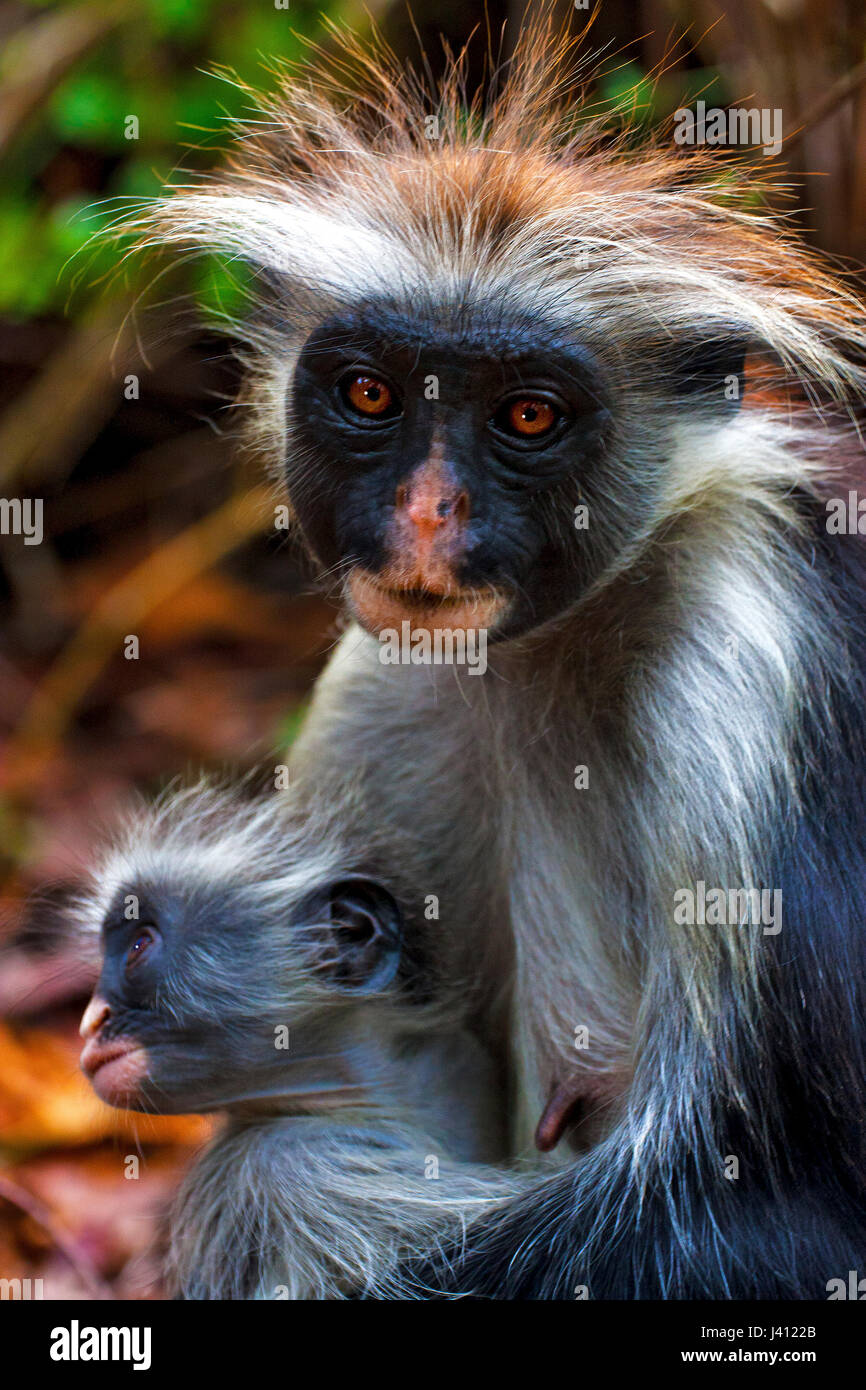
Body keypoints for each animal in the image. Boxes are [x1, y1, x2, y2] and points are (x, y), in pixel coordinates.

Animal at [128, 23, 866, 1296]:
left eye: (526, 416)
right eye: (369, 393)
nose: (427, 515)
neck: (562, 647)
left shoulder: (748, 661)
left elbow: (780, 1211)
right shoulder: (383, 689)